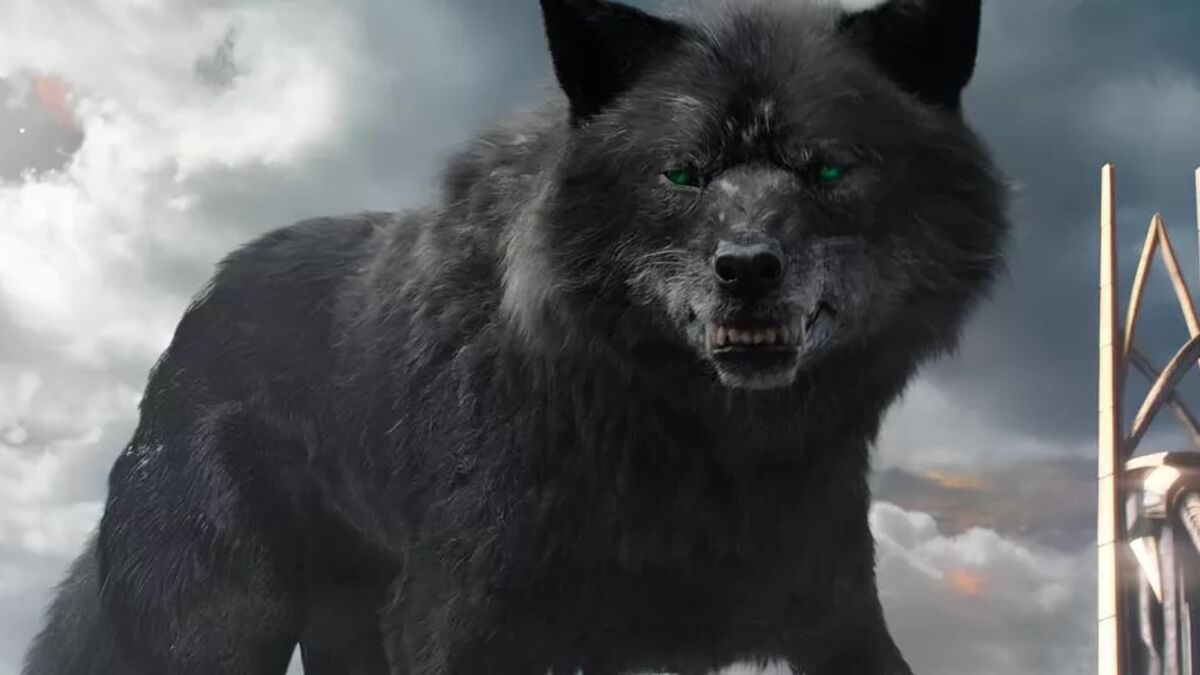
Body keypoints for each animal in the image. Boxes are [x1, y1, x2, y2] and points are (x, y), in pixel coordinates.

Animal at [23, 0, 1008, 673]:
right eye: (682, 174)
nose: (746, 267)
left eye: (829, 168)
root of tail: (191, 320)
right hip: (223, 630)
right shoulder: (463, 626)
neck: (698, 446)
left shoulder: (833, 611)